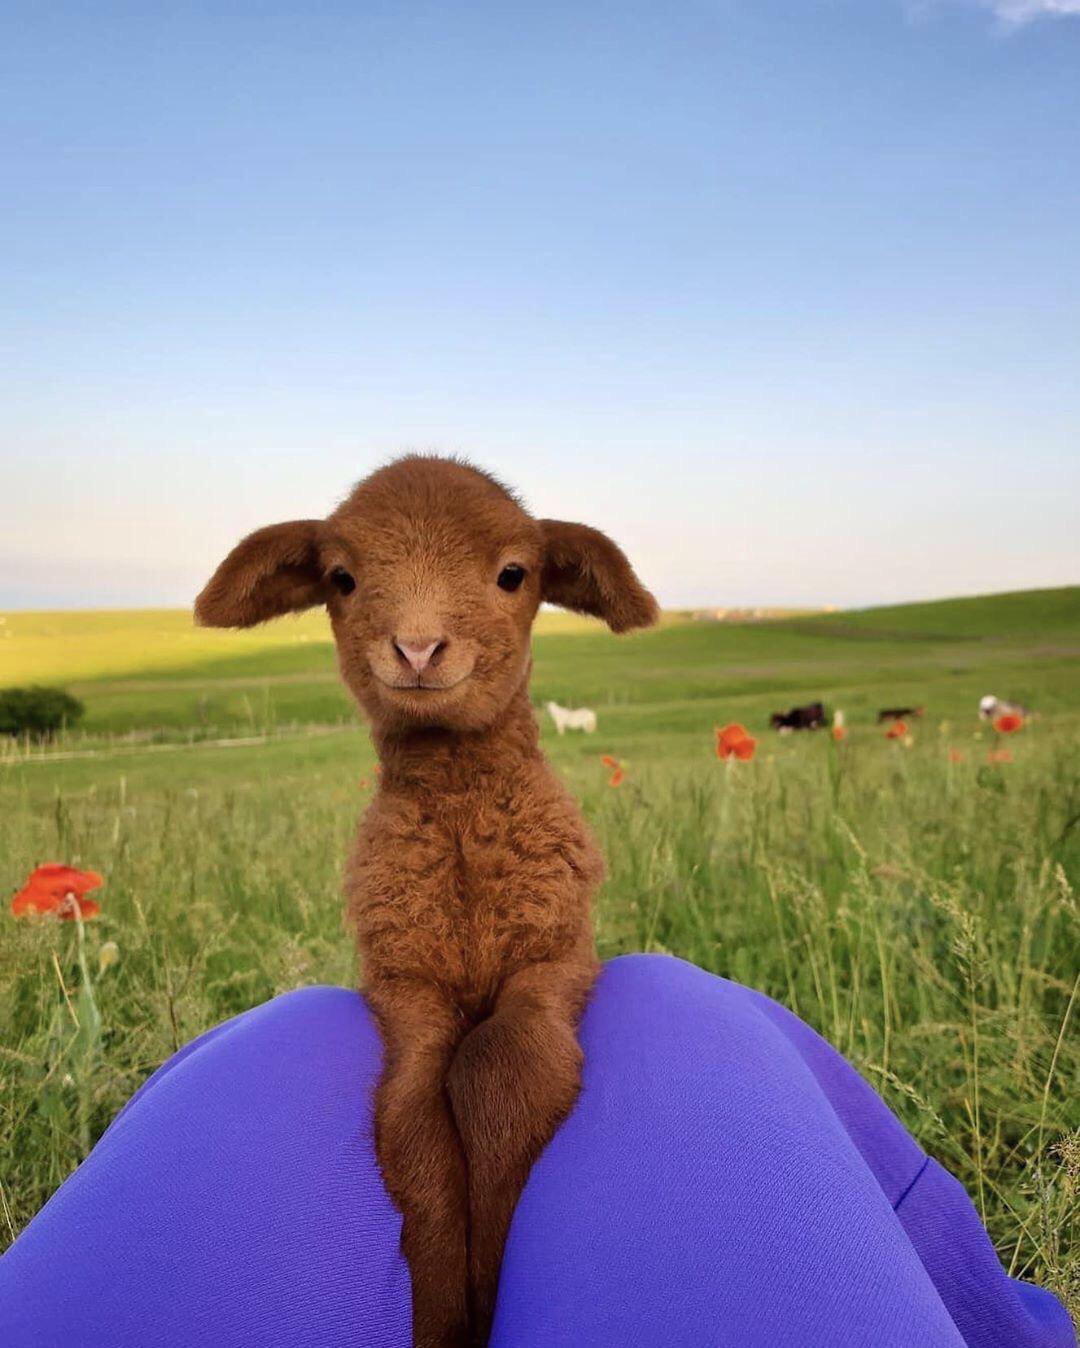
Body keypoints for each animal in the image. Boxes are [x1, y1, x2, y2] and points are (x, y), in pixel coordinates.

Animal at [195, 455, 659, 1348]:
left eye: (514, 574)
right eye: (341, 578)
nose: (415, 647)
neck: (462, 839)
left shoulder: (556, 956)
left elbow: (501, 1065)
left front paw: (496, 1272)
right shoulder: (404, 984)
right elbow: (409, 1116)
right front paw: (446, 1305)